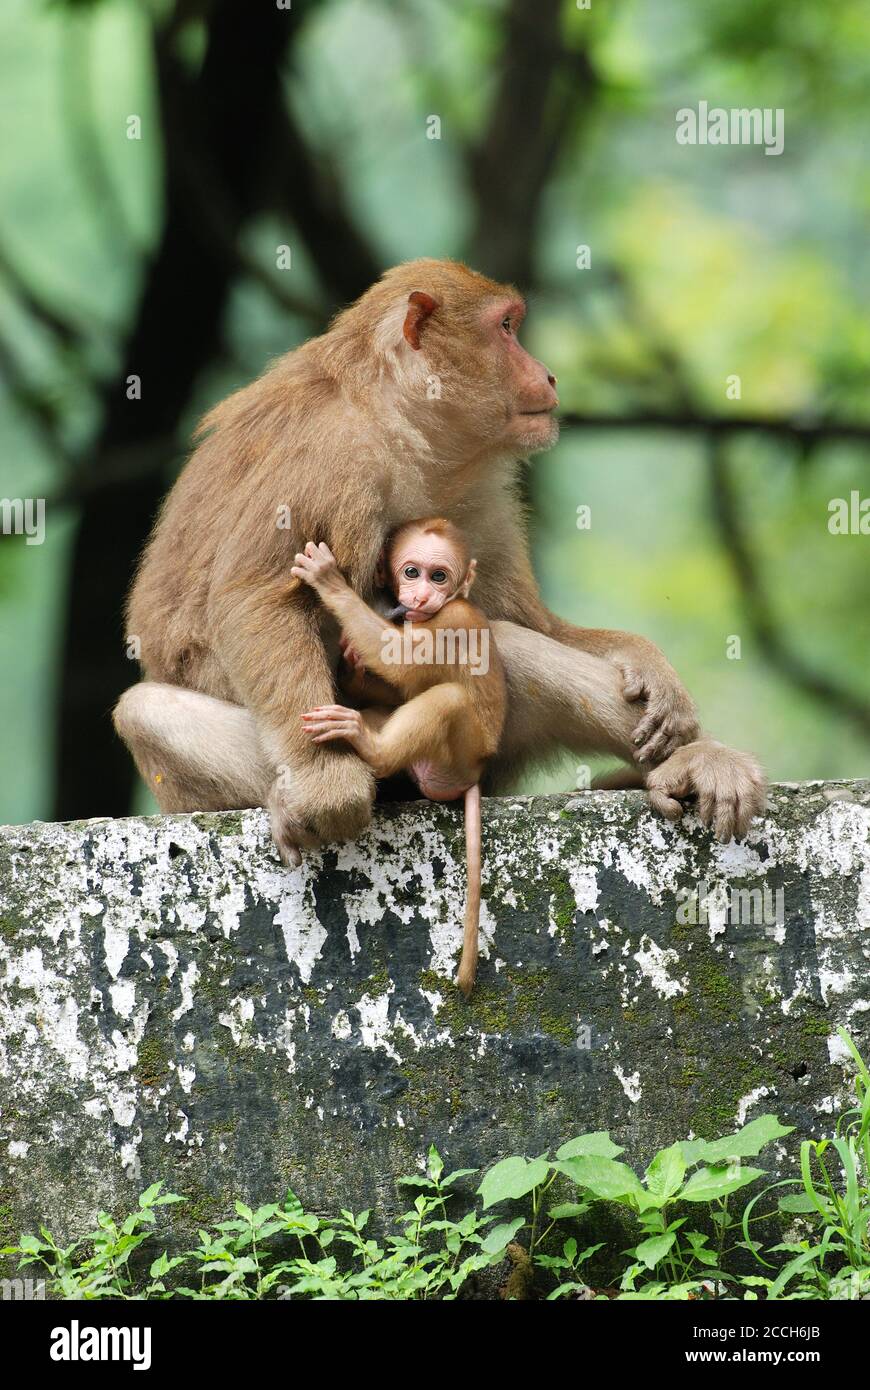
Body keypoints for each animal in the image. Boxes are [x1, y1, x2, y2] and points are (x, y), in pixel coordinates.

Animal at [114, 258, 765, 876]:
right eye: (506, 327)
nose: (549, 374)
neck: (399, 423)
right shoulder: (326, 455)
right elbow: (257, 597)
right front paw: (326, 781)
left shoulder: (476, 492)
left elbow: (524, 618)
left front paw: (646, 662)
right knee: (144, 712)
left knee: (499, 640)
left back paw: (693, 762)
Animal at [289, 518, 504, 995]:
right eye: (411, 572)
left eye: (438, 576)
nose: (421, 596)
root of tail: (474, 774)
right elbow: (394, 681)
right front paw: (351, 662)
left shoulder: (452, 620)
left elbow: (403, 664)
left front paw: (331, 583)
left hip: (457, 755)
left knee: (446, 698)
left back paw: (373, 750)